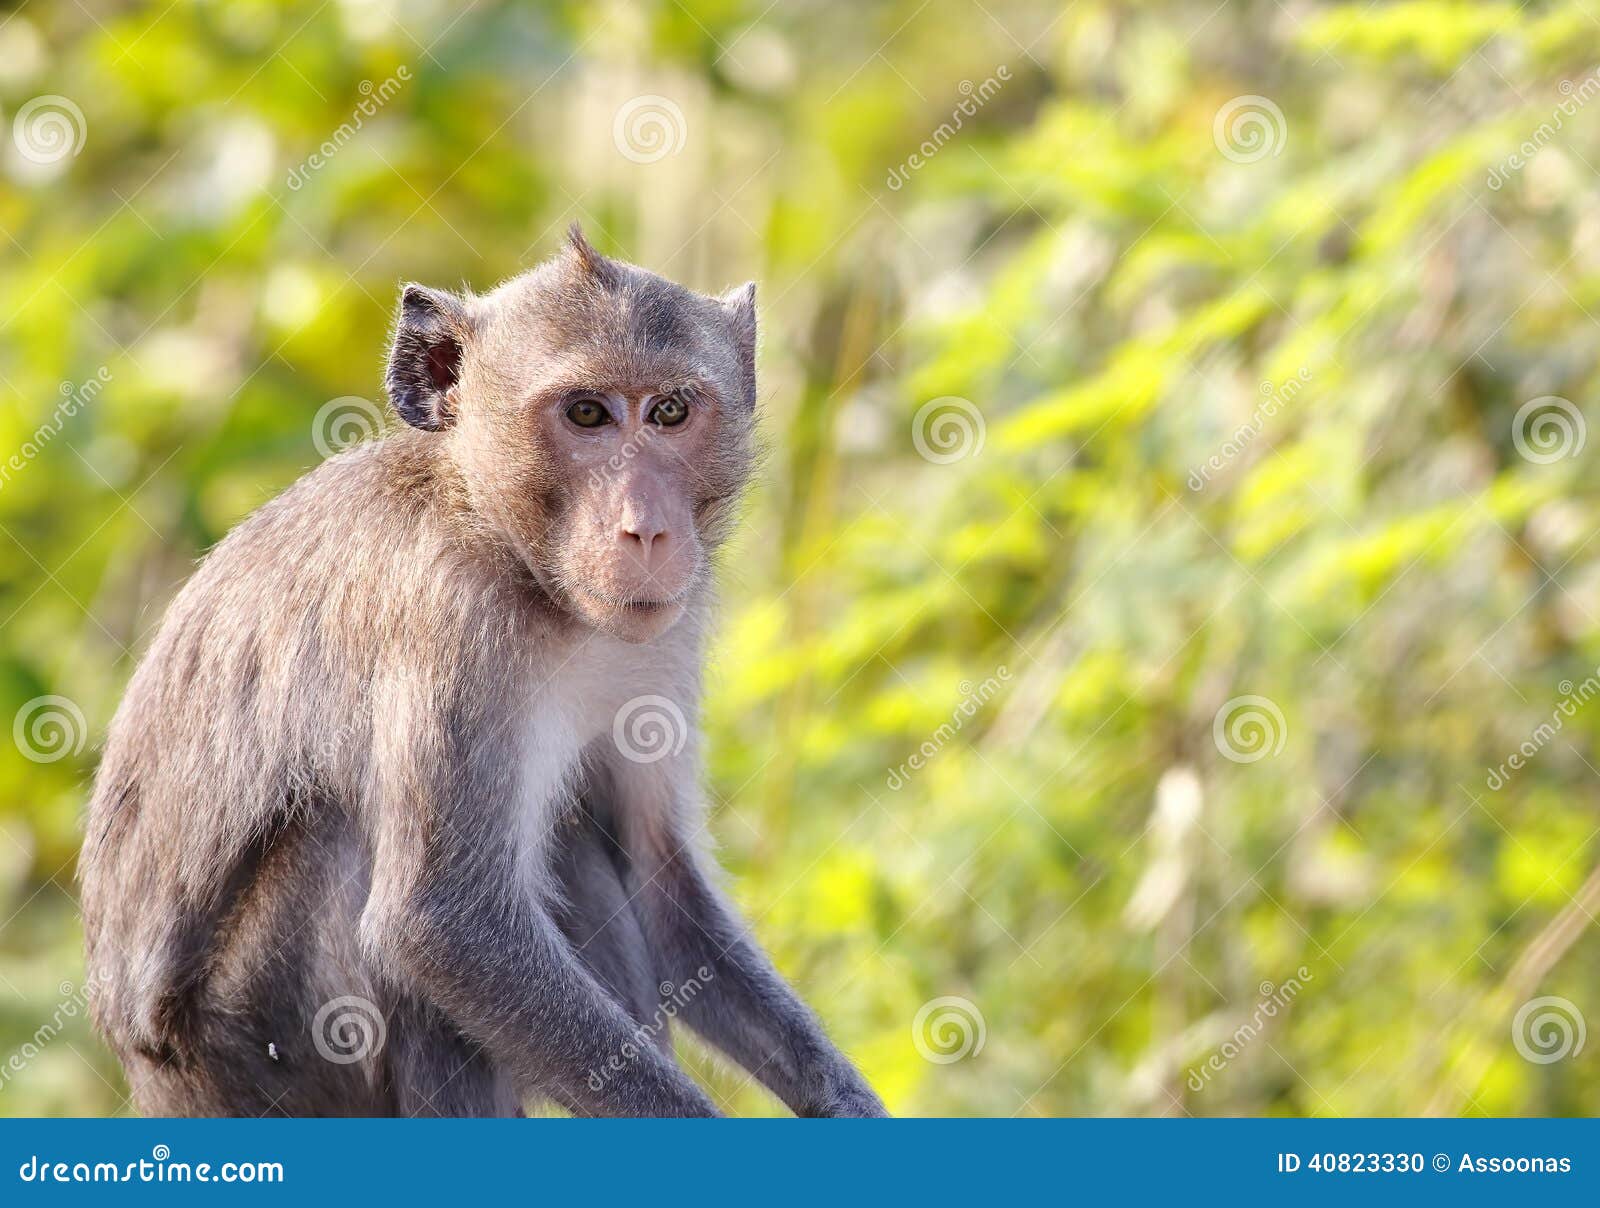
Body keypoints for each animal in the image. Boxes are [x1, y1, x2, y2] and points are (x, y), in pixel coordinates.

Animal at [79, 227, 888, 1119]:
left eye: (670, 411)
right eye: (587, 414)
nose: (645, 528)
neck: (509, 548)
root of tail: (151, 1077)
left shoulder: (667, 631)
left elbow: (658, 879)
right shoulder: (451, 621)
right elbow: (441, 927)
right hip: (252, 1048)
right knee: (353, 855)